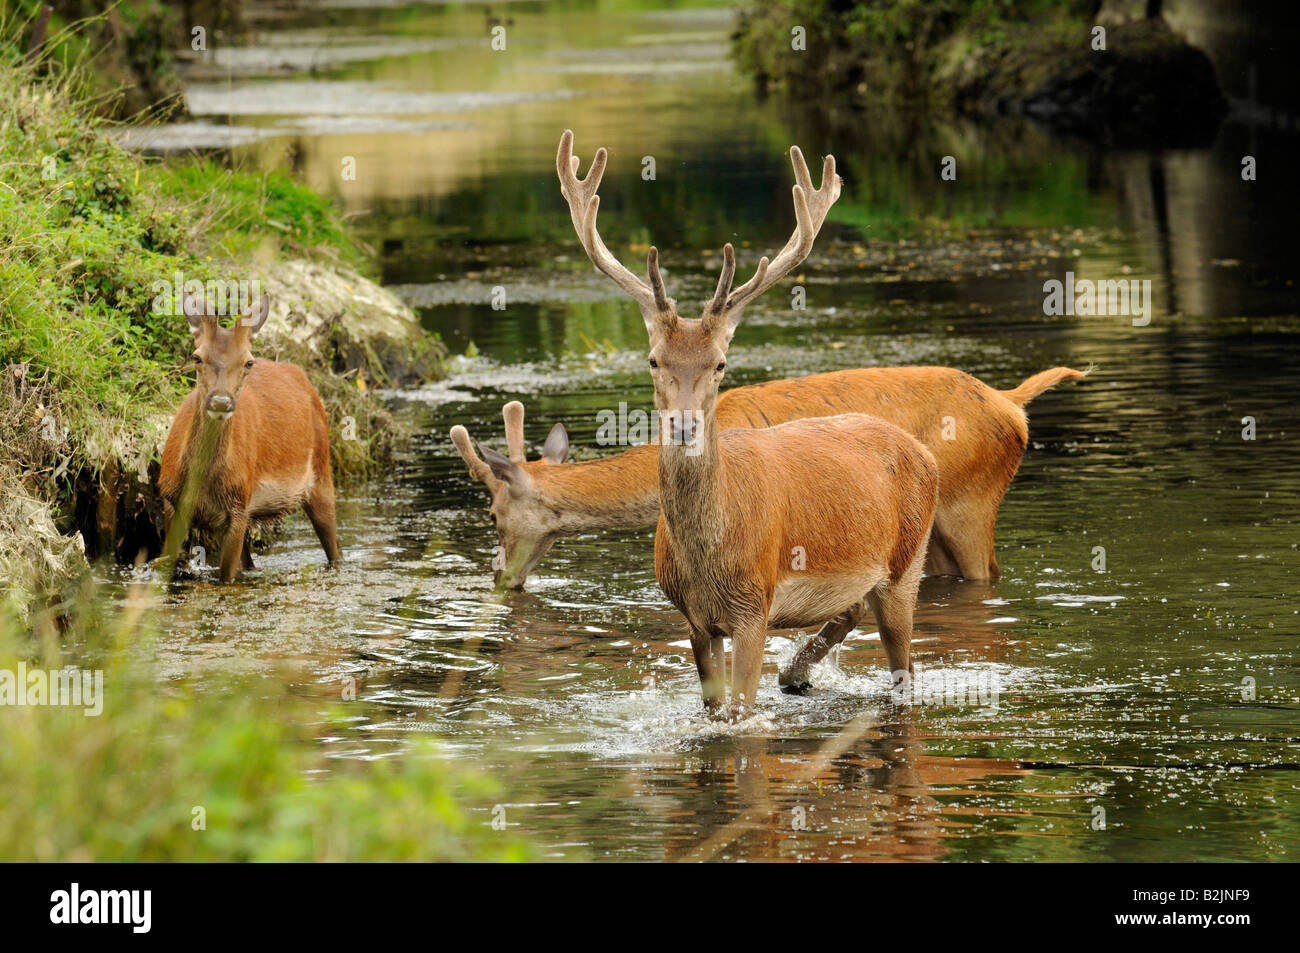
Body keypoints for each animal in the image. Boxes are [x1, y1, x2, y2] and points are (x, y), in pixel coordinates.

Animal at [158, 291, 342, 583]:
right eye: (197, 357)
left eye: (248, 361)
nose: (221, 401)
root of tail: (300, 374)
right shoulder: (170, 501)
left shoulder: (237, 507)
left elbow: (226, 578)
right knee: (250, 562)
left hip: (322, 471)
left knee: (334, 547)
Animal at [555, 129, 949, 719]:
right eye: (653, 360)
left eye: (719, 363)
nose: (684, 425)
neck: (709, 562)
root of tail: (923, 452)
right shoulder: (696, 619)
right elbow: (714, 708)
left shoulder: (753, 605)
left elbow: (740, 713)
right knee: (851, 610)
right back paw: (796, 673)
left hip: (907, 561)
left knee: (904, 667)